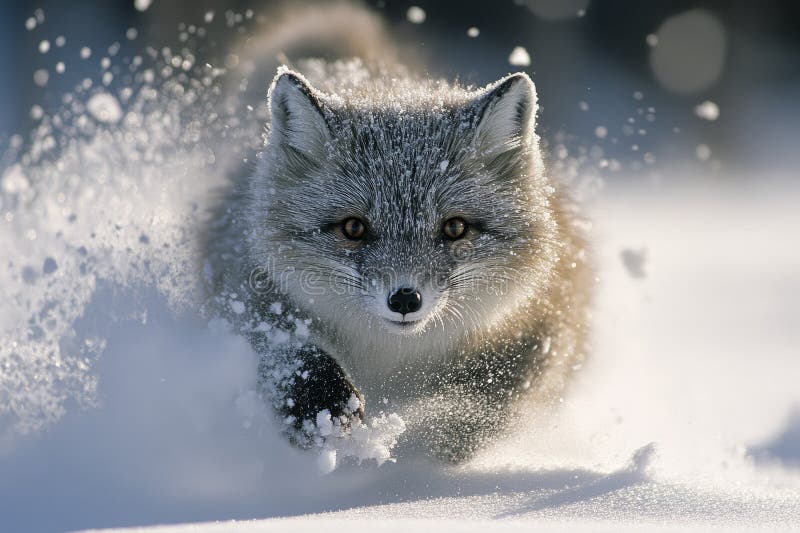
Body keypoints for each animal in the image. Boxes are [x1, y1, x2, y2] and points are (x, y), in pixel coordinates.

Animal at [203, 2, 591, 462]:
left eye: (455, 227)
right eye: (353, 227)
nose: (405, 298)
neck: (390, 359)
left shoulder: (543, 333)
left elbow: (481, 404)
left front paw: (423, 445)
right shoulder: (245, 294)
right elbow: (290, 352)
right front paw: (325, 410)